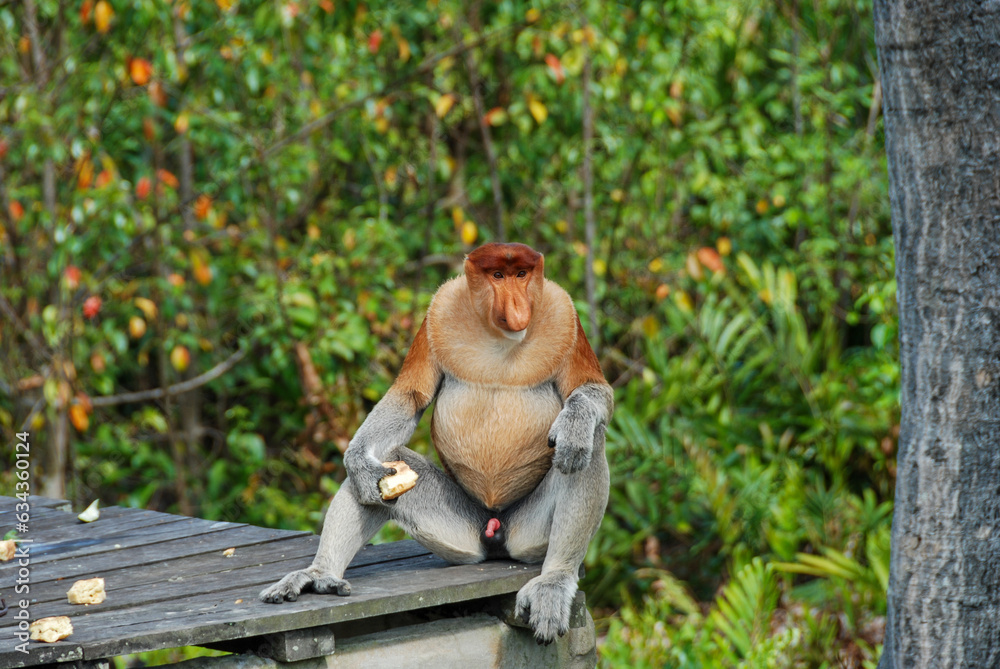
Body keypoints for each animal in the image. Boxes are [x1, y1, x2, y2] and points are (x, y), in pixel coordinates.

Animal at [259, 242, 612, 645]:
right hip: (461, 533)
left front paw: (576, 421)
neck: (499, 339)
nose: (517, 306)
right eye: (498, 276)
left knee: (590, 446)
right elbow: (409, 396)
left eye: (522, 275)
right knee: (386, 458)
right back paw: (319, 574)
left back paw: (554, 580)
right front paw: (358, 461)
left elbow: (595, 392)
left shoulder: (564, 315)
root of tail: (495, 530)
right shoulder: (437, 315)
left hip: (529, 534)